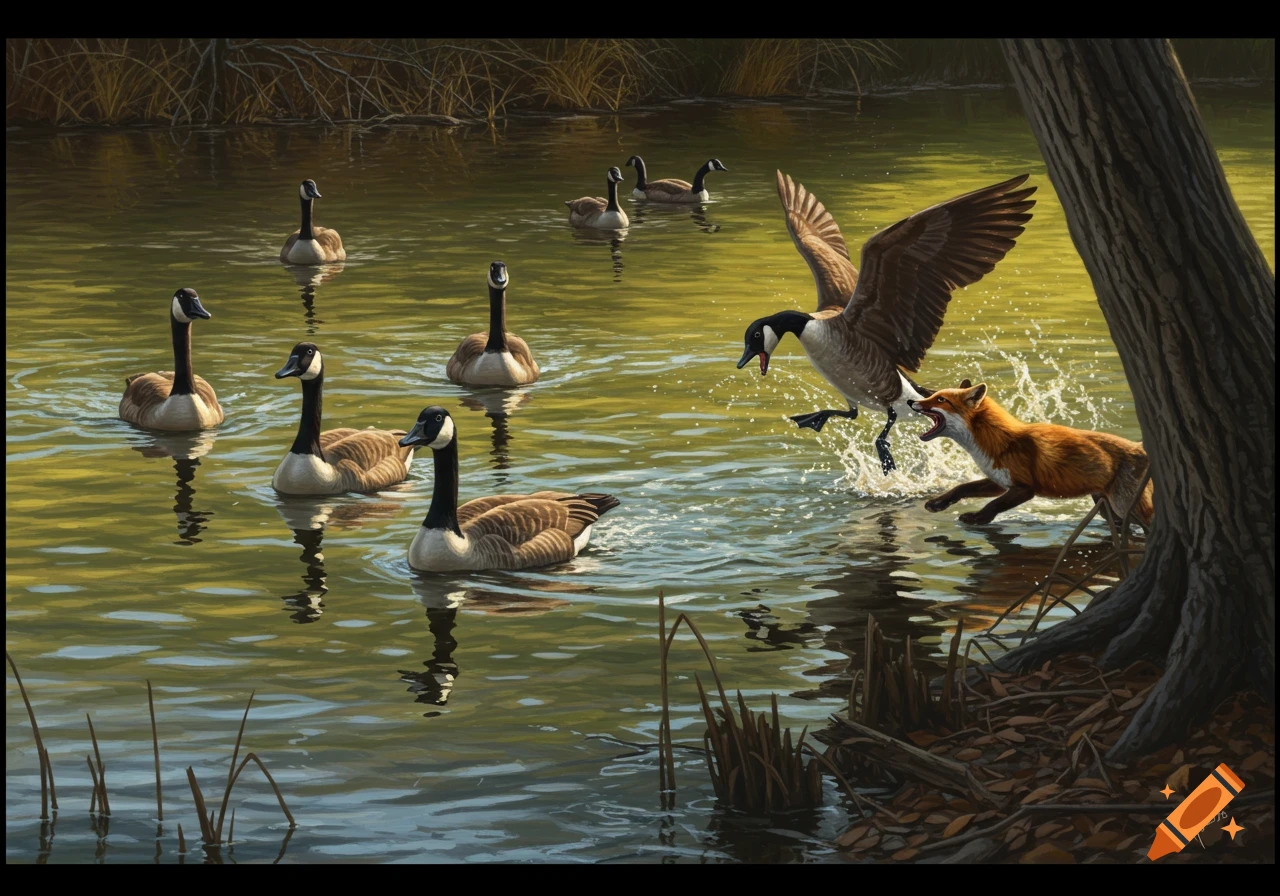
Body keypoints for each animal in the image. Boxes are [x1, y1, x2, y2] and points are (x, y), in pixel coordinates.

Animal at [907, 380, 1154, 526]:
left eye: (940, 399)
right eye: (933, 394)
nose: (911, 400)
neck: (999, 441)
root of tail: (1140, 447)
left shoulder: (1025, 488)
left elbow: (994, 504)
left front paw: (978, 518)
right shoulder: (1000, 481)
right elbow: (963, 487)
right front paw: (938, 503)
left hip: (1127, 505)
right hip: (1107, 507)